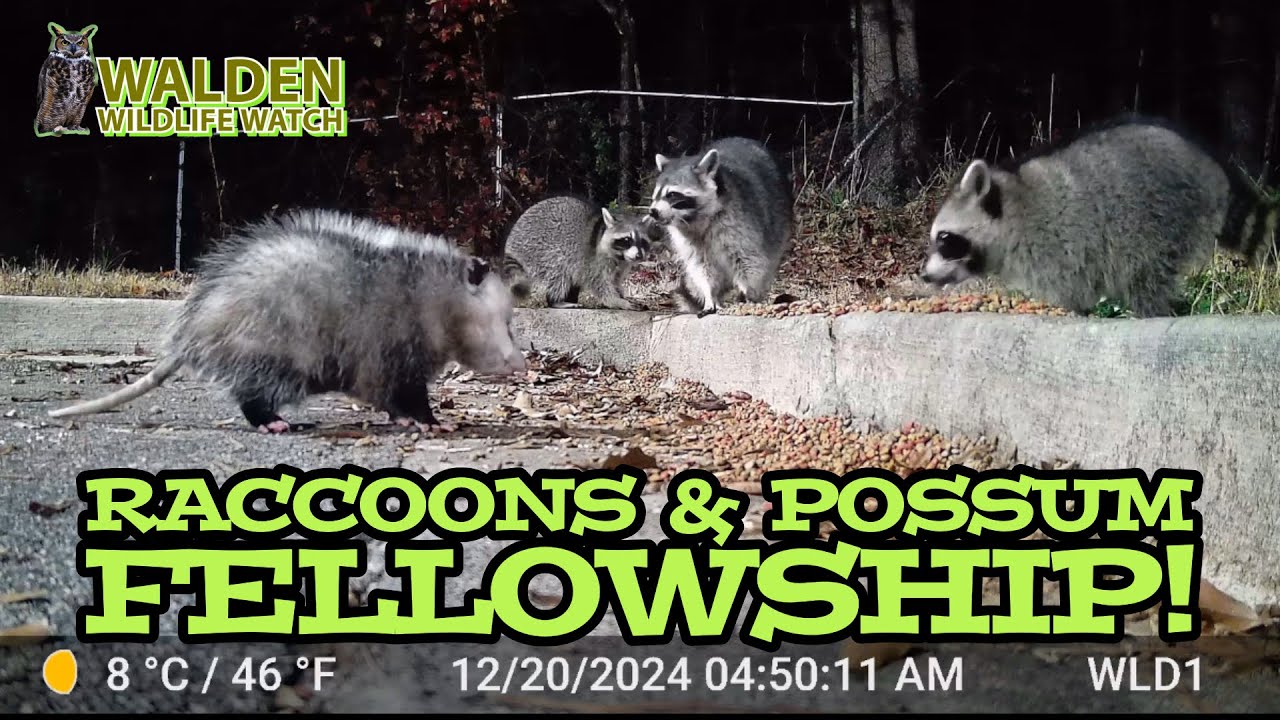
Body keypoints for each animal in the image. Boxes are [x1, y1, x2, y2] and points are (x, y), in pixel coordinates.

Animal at [48, 209, 527, 433]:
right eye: (506, 321)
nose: (522, 364)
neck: (437, 296)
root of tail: (195, 330)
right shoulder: (391, 349)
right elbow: (396, 393)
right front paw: (425, 421)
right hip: (277, 351)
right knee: (254, 392)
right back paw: (271, 420)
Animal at [501, 195, 660, 310]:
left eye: (643, 241)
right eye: (627, 240)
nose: (639, 256)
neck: (620, 256)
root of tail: (511, 241)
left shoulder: (622, 264)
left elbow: (615, 280)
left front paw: (621, 295)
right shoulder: (596, 261)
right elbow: (601, 285)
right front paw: (618, 301)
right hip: (539, 249)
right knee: (559, 273)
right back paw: (556, 301)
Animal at [646, 136, 794, 317]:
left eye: (672, 195)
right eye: (655, 196)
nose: (653, 212)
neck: (695, 219)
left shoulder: (741, 223)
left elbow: (750, 261)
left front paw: (749, 294)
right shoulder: (691, 241)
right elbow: (703, 269)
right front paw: (710, 295)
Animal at [922, 115, 1280, 317]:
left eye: (946, 239)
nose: (924, 276)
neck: (1011, 211)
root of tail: (1211, 170)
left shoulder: (1060, 242)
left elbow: (1075, 284)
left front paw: (1076, 310)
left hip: (1162, 216)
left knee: (1145, 273)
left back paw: (1152, 311)